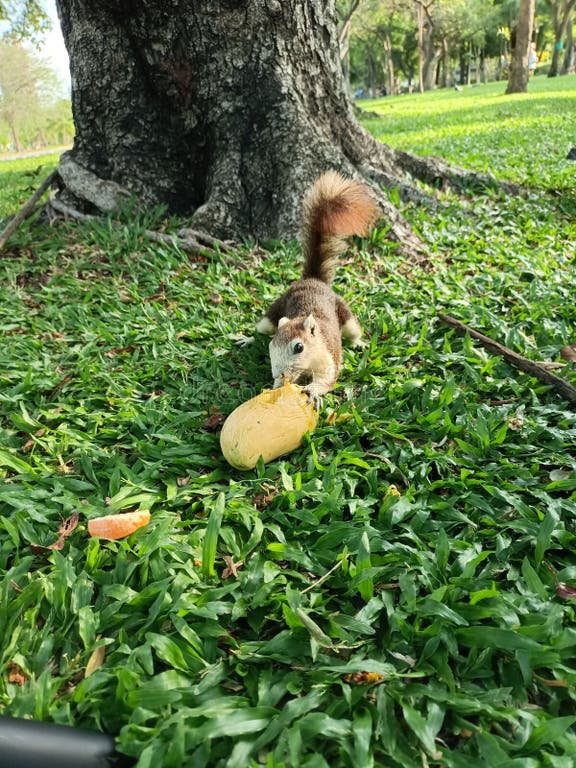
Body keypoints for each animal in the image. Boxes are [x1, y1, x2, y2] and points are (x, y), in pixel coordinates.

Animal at [255, 170, 380, 402]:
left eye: (299, 347)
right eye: (272, 345)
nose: (279, 374)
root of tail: (313, 280)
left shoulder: (329, 356)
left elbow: (327, 379)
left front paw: (313, 390)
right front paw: (276, 387)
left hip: (345, 314)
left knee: (353, 330)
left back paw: (359, 342)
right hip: (273, 314)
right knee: (262, 326)